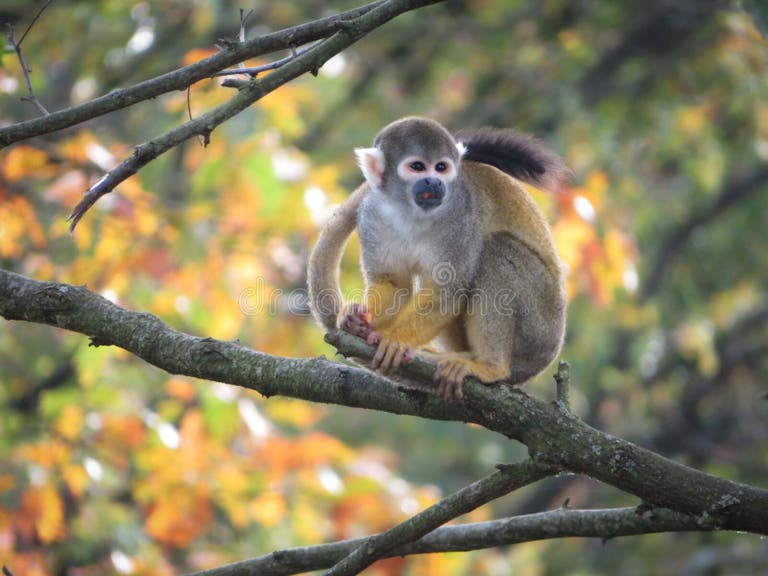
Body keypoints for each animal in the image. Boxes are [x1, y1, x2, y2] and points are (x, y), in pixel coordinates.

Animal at [307, 117, 569, 401]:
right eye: (418, 167)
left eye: (441, 168)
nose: (434, 182)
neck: (411, 210)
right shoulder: (372, 212)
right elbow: (394, 284)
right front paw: (356, 320)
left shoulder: (461, 215)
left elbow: (447, 291)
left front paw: (396, 341)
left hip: (541, 325)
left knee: (496, 250)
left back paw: (491, 367)